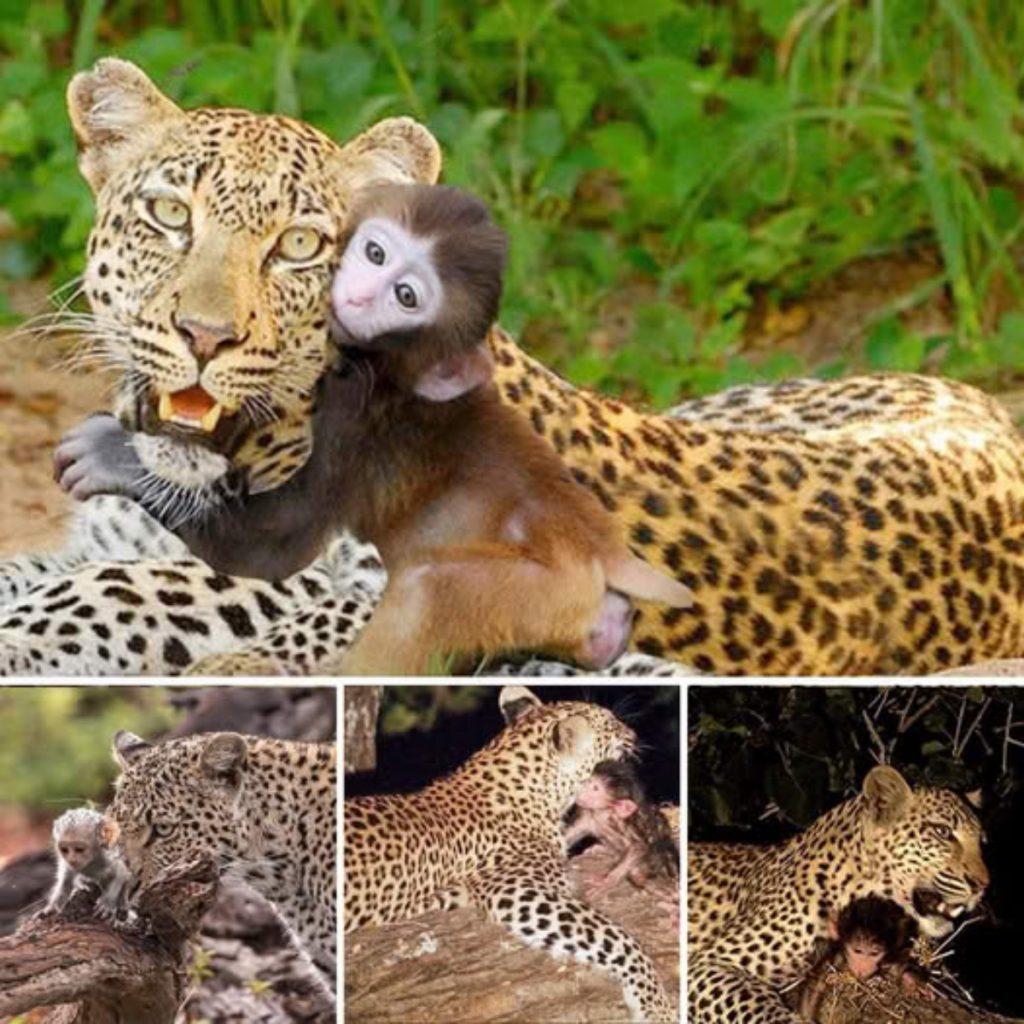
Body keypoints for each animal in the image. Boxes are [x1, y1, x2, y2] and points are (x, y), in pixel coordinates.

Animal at [5, 56, 1024, 675]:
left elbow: (109, 592)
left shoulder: (324, 571)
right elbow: (50, 573)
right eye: (171, 216)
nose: (205, 335)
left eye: (299, 246)